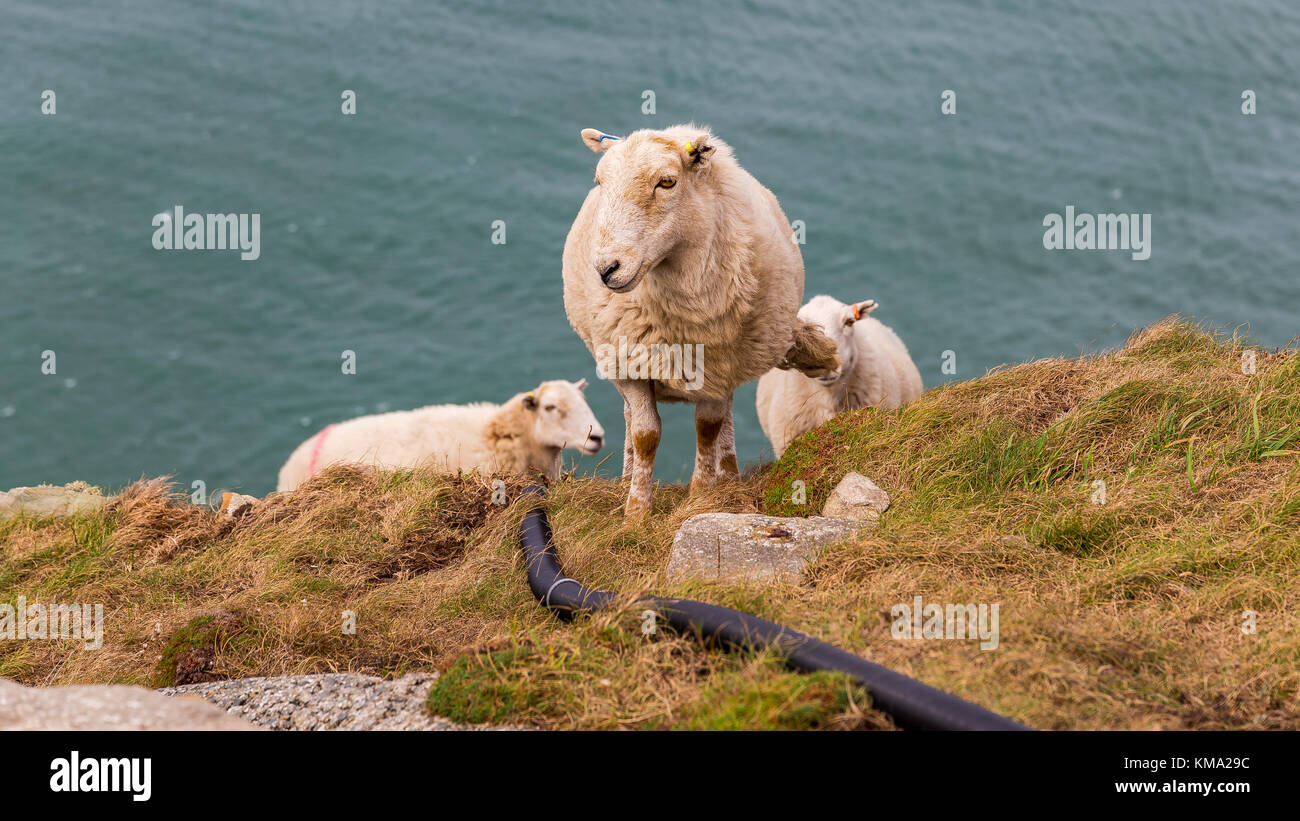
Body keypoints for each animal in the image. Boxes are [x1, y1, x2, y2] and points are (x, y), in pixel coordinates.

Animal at [562, 123, 839, 518]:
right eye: (600, 182)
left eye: (667, 182)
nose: (606, 269)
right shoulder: (629, 363)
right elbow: (646, 434)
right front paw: (636, 512)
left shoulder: (720, 366)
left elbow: (708, 428)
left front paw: (700, 496)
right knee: (631, 419)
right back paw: (628, 477)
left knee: (726, 419)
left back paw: (729, 475)